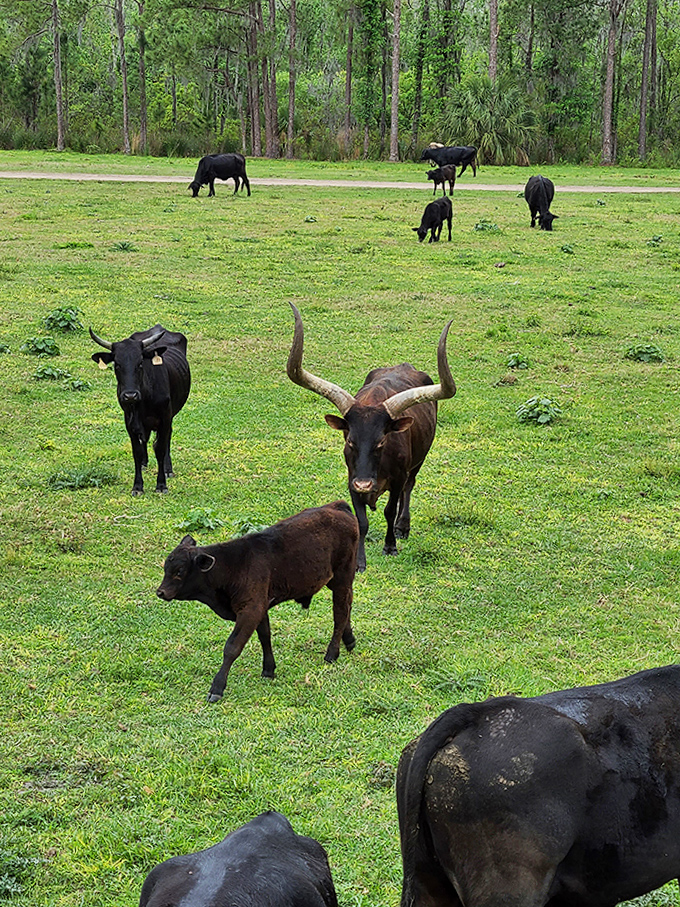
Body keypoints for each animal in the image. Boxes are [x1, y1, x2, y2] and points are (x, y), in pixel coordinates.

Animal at [90, 325, 190, 496]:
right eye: (117, 365)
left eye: (140, 363)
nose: (130, 395)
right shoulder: (129, 421)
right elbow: (136, 451)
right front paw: (137, 486)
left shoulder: (165, 418)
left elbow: (160, 448)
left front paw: (161, 485)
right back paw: (144, 463)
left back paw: (168, 469)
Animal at [156, 500, 359, 702]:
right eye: (166, 567)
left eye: (179, 571)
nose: (160, 592)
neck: (234, 567)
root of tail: (337, 506)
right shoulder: (261, 607)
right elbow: (264, 636)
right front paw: (268, 669)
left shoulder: (251, 609)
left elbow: (232, 647)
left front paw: (217, 687)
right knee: (346, 607)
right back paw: (348, 640)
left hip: (342, 577)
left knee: (340, 612)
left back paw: (332, 652)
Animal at [286, 303, 455, 572]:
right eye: (350, 441)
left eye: (381, 442)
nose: (365, 484)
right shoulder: (351, 479)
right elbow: (361, 520)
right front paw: (359, 561)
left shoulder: (397, 478)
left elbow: (389, 509)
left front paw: (390, 546)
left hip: (419, 460)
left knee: (409, 488)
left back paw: (403, 526)